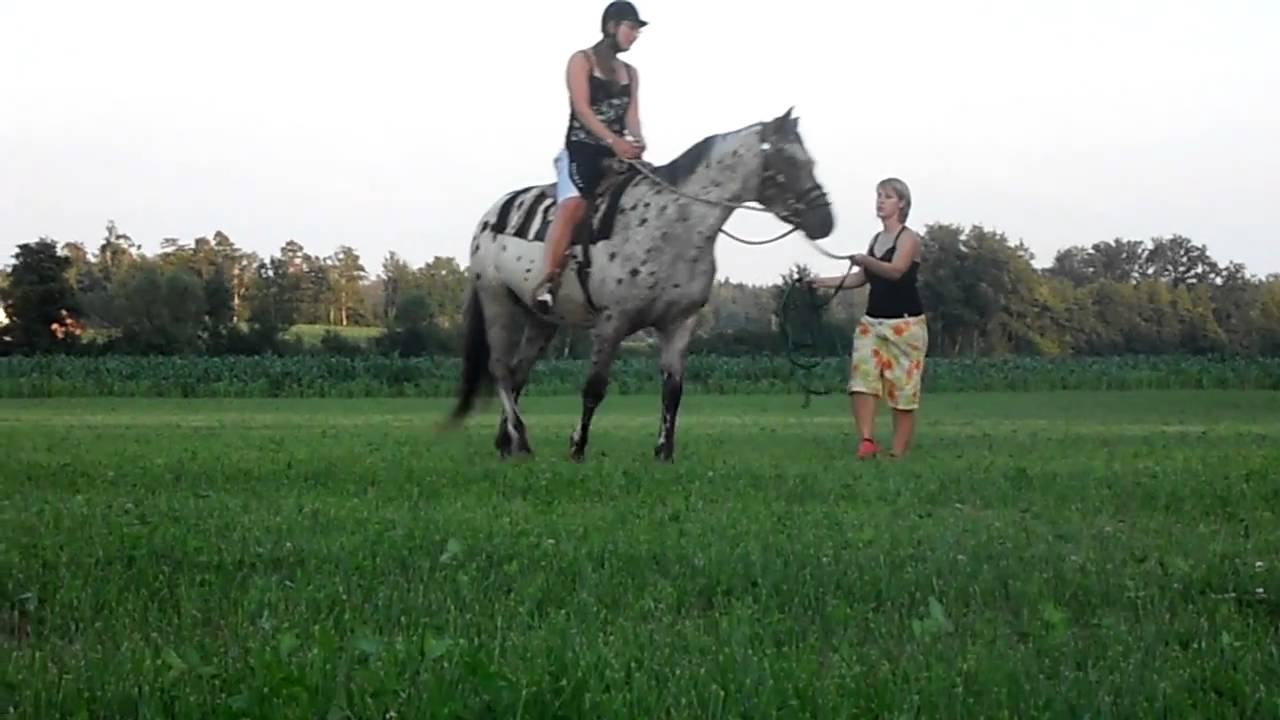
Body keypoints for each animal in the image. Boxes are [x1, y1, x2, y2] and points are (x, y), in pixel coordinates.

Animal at [442, 107, 835, 462]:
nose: (825, 221)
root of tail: (492, 214)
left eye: (810, 161)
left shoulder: (680, 323)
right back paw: (519, 439)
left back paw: (508, 443)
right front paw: (577, 447)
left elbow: (673, 391)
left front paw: (664, 452)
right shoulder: (611, 322)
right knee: (500, 370)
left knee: (518, 373)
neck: (673, 226)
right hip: (496, 302)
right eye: (789, 161)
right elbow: (594, 388)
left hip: (541, 320)